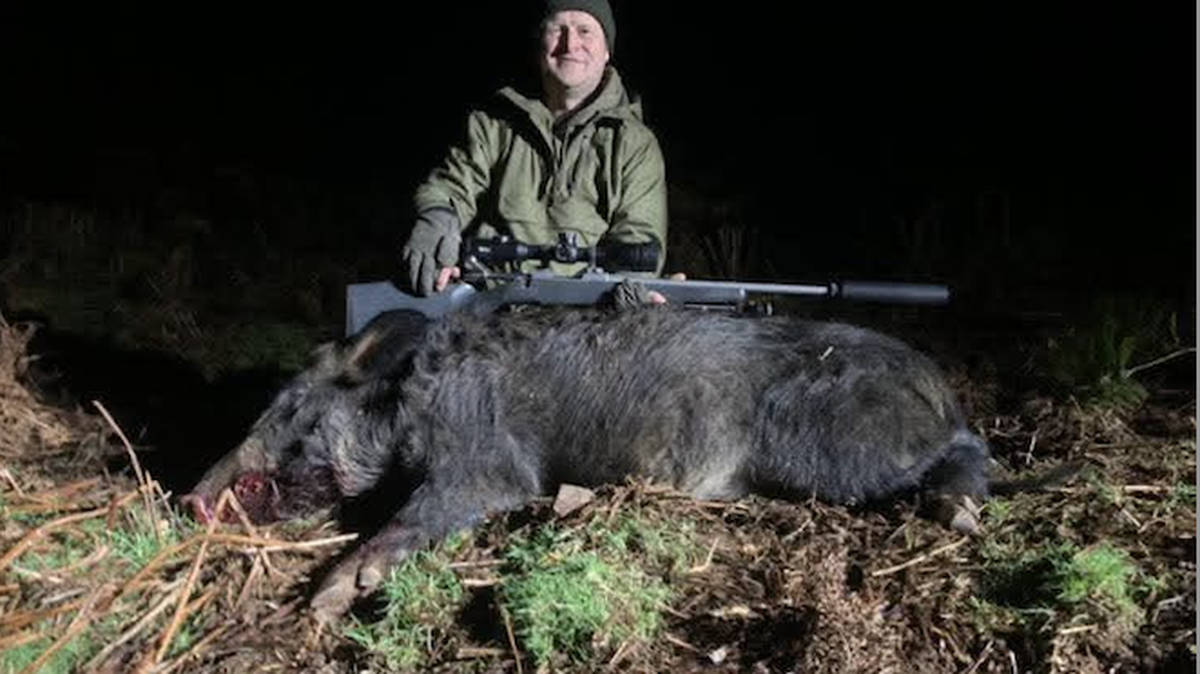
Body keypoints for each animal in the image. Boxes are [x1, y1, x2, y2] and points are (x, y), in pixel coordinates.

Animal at [183, 306, 989, 620]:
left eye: (290, 409)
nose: (190, 498)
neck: (411, 406)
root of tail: (937, 386)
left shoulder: (488, 464)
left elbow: (418, 517)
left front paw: (324, 601)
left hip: (835, 447)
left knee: (969, 452)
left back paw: (960, 515)